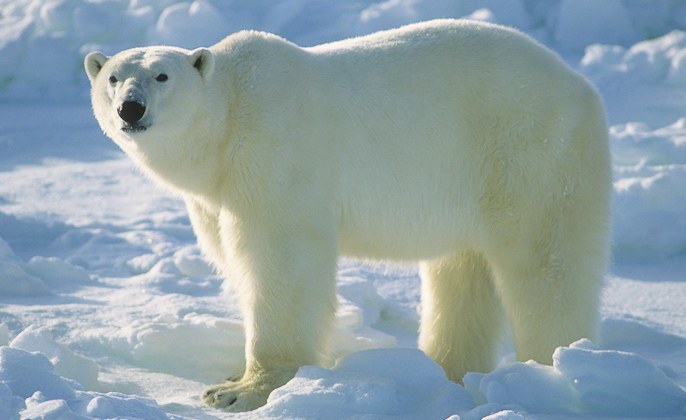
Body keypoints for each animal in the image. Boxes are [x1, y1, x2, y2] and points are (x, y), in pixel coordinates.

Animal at [84, 19, 611, 412]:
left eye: (162, 76)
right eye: (112, 77)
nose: (130, 109)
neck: (229, 117)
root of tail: (581, 85)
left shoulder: (275, 155)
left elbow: (281, 261)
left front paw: (241, 390)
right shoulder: (217, 194)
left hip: (529, 153)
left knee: (545, 265)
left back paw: (551, 369)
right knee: (462, 272)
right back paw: (443, 371)